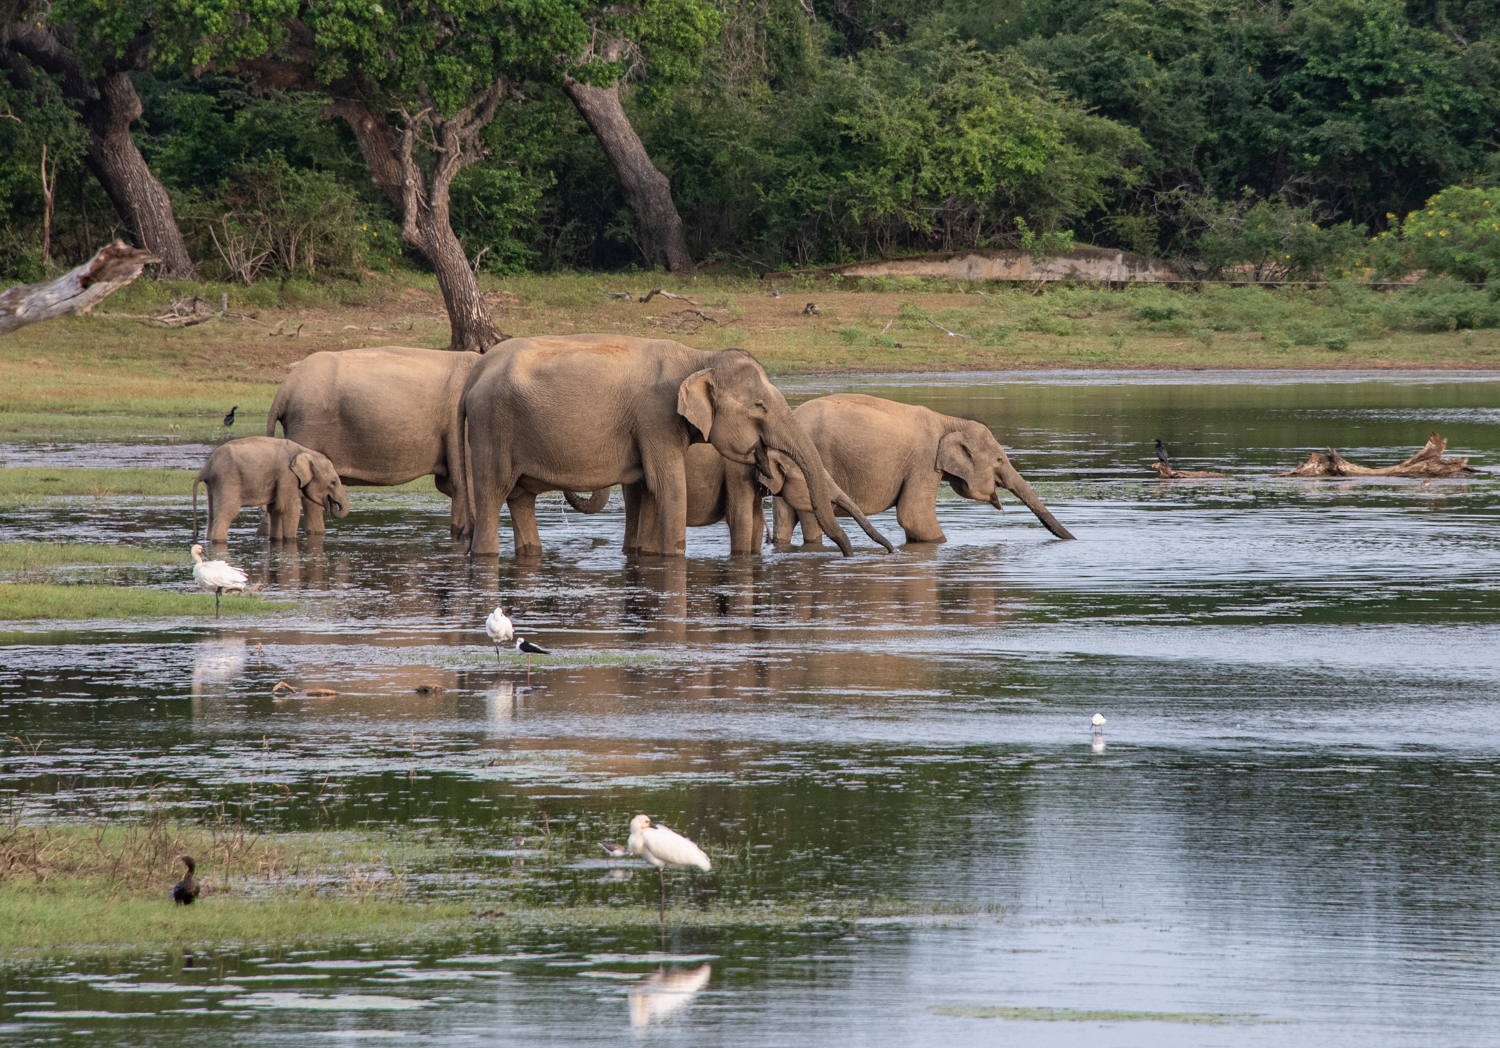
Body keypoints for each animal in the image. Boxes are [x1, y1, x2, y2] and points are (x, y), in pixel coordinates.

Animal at [193, 437, 349, 543]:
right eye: (333, 482)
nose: (332, 506)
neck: (305, 451)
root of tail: (207, 467)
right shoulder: (287, 475)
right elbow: (290, 509)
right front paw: (291, 541)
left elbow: (276, 510)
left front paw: (276, 540)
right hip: (227, 478)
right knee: (227, 513)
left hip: (214, 485)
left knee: (212, 514)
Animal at [458, 334, 854, 558]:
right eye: (760, 406)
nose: (849, 553)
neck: (699, 357)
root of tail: (473, 374)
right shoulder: (655, 417)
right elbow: (669, 488)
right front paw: (674, 558)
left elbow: (648, 488)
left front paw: (647, 555)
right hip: (492, 428)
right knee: (492, 496)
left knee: (521, 500)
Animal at [770, 393, 1074, 546]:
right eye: (999, 459)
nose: (1074, 540)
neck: (949, 421)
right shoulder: (924, 461)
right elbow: (914, 516)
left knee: (785, 517)